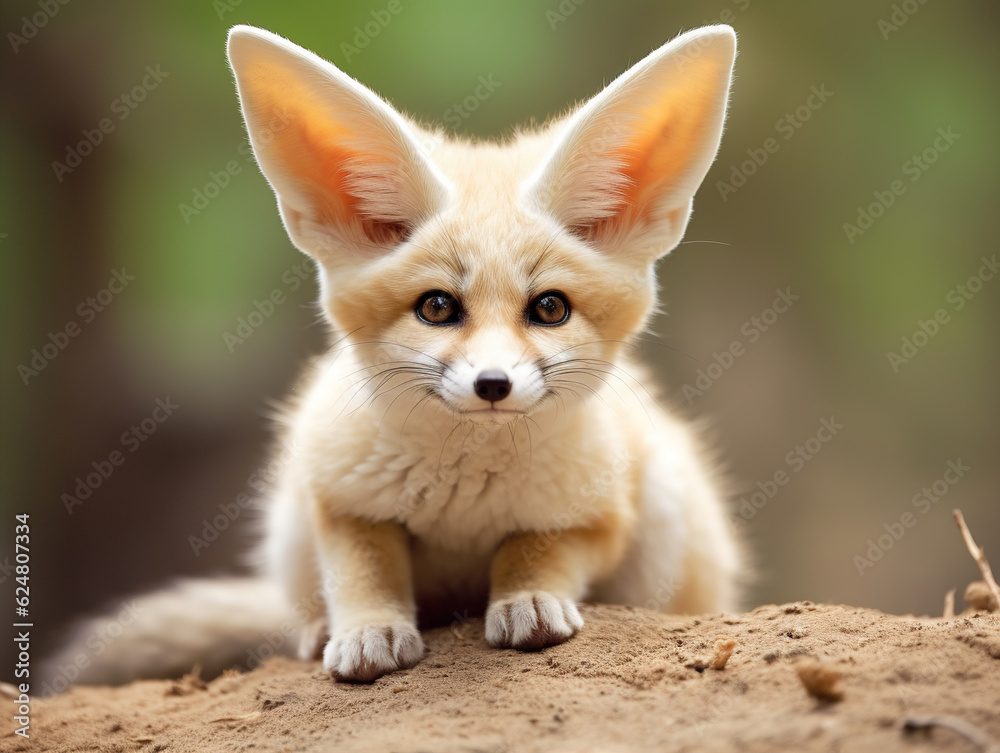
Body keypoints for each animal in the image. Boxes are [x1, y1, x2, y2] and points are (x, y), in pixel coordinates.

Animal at [43, 23, 742, 687]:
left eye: (549, 309)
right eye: (437, 307)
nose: (493, 384)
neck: (465, 496)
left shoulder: (594, 517)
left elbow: (532, 552)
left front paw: (528, 601)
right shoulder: (339, 501)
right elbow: (364, 573)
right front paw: (367, 632)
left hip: (667, 503)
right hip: (287, 525)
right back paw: (314, 631)